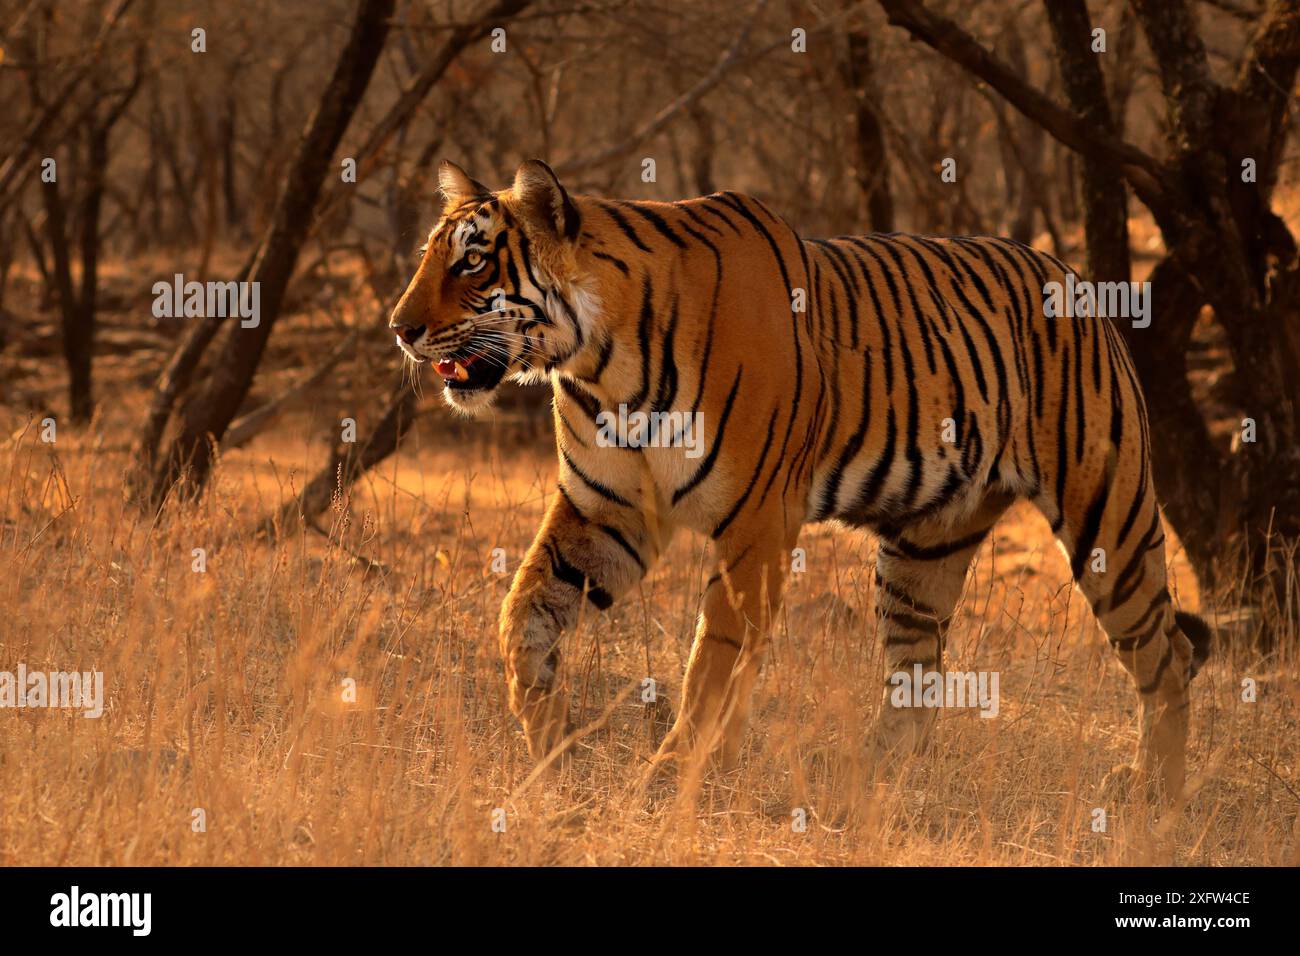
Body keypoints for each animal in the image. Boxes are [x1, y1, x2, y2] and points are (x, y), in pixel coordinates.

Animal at [388, 158, 1213, 801]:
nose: (399, 328)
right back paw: (867, 776)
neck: (598, 359)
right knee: (918, 669)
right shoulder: (607, 511)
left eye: (471, 262)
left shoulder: (755, 524)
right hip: (923, 552)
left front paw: (675, 775)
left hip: (1108, 517)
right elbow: (523, 610)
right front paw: (548, 739)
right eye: (430, 255)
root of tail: (1067, 270)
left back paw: (1155, 793)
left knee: (1166, 653)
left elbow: (714, 659)